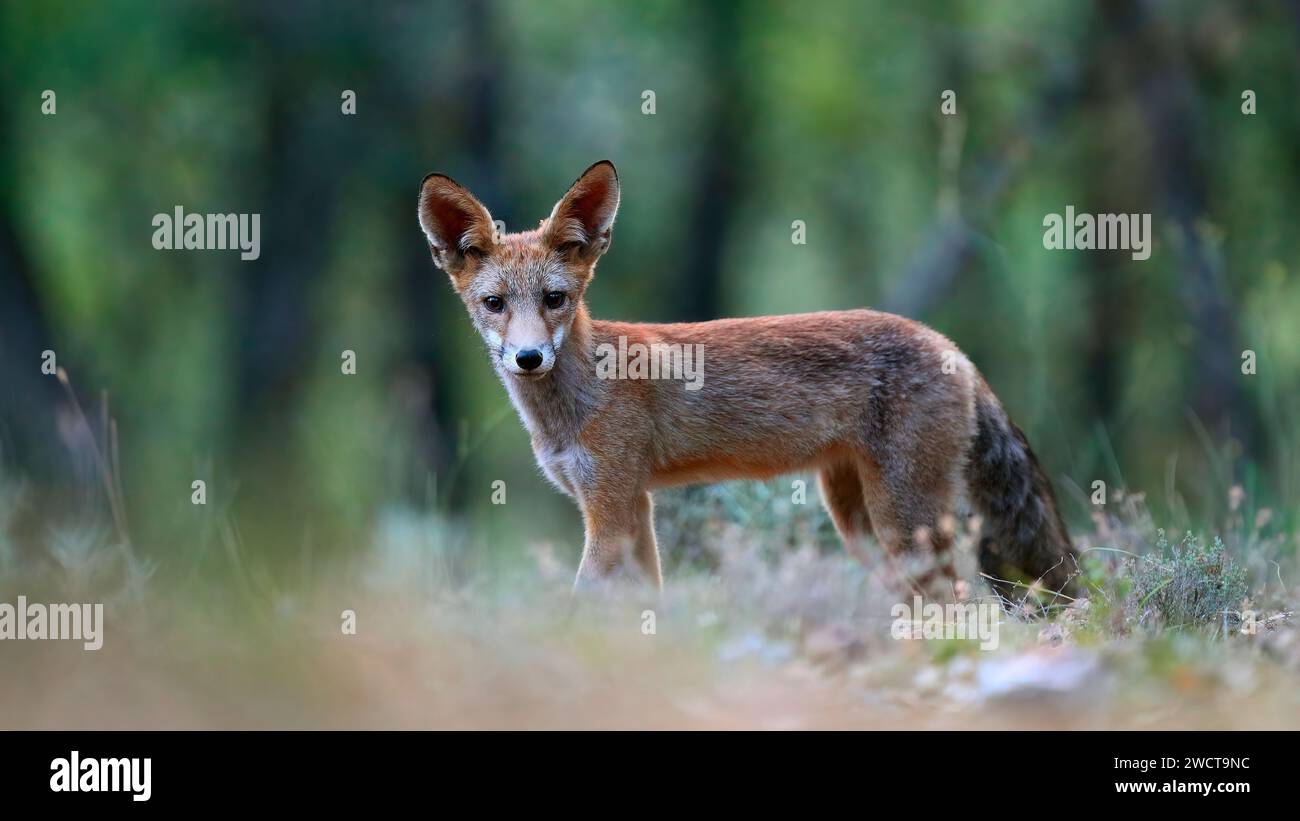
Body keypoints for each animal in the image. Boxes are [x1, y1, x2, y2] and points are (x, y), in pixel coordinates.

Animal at [417, 161, 1078, 603]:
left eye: (555, 299)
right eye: (495, 304)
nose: (528, 358)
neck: (574, 403)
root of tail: (952, 347)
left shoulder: (611, 509)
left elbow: (581, 604)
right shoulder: (633, 507)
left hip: (903, 519)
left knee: (961, 601)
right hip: (858, 520)